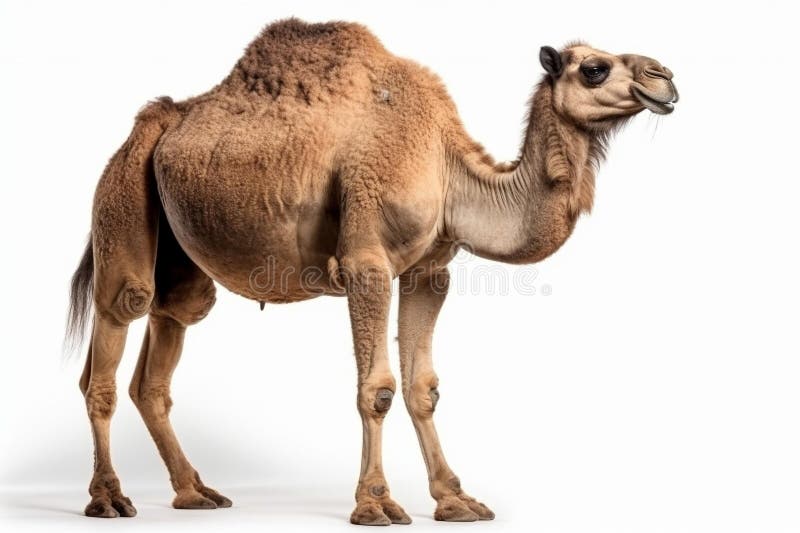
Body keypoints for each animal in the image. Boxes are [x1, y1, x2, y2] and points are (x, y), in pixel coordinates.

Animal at [65, 18, 678, 525]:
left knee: (167, 335)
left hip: (181, 248)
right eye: (594, 67)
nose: (665, 77)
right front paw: (376, 504)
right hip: (121, 193)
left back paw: (194, 492)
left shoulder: (430, 271)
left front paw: (456, 499)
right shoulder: (366, 262)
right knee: (117, 325)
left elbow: (423, 387)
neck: (446, 166)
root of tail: (151, 124)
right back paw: (108, 498)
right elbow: (377, 388)